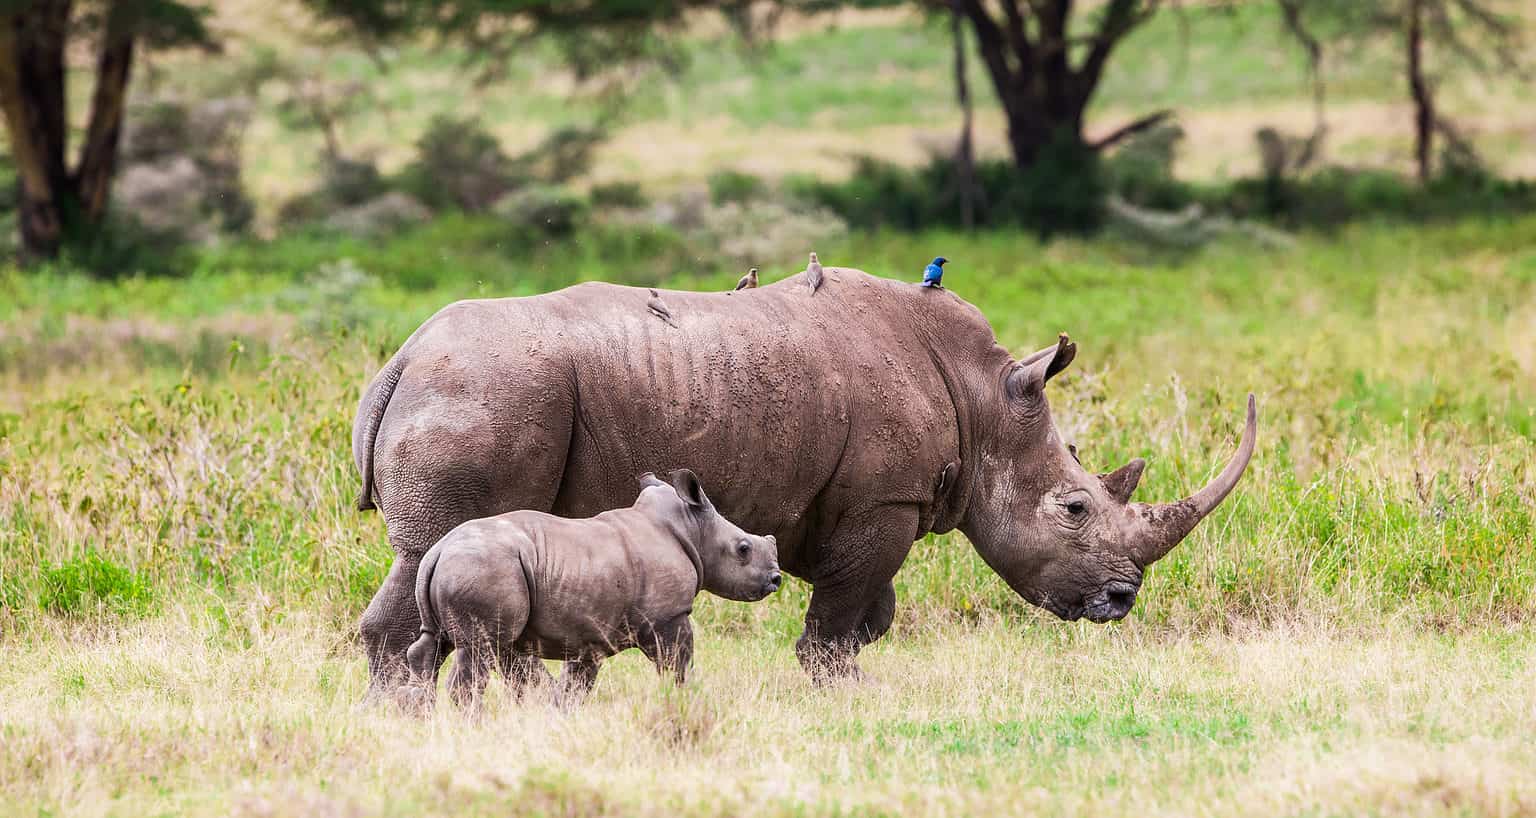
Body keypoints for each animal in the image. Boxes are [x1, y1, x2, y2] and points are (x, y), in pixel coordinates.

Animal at [404, 469, 781, 711]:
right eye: (743, 549)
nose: (776, 579)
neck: (691, 529)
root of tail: (437, 551)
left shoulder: (590, 633)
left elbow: (576, 684)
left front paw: (560, 716)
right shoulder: (668, 617)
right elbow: (678, 666)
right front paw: (684, 700)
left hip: (463, 569)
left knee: (434, 645)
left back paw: (425, 718)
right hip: (483, 568)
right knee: (480, 649)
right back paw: (472, 722)